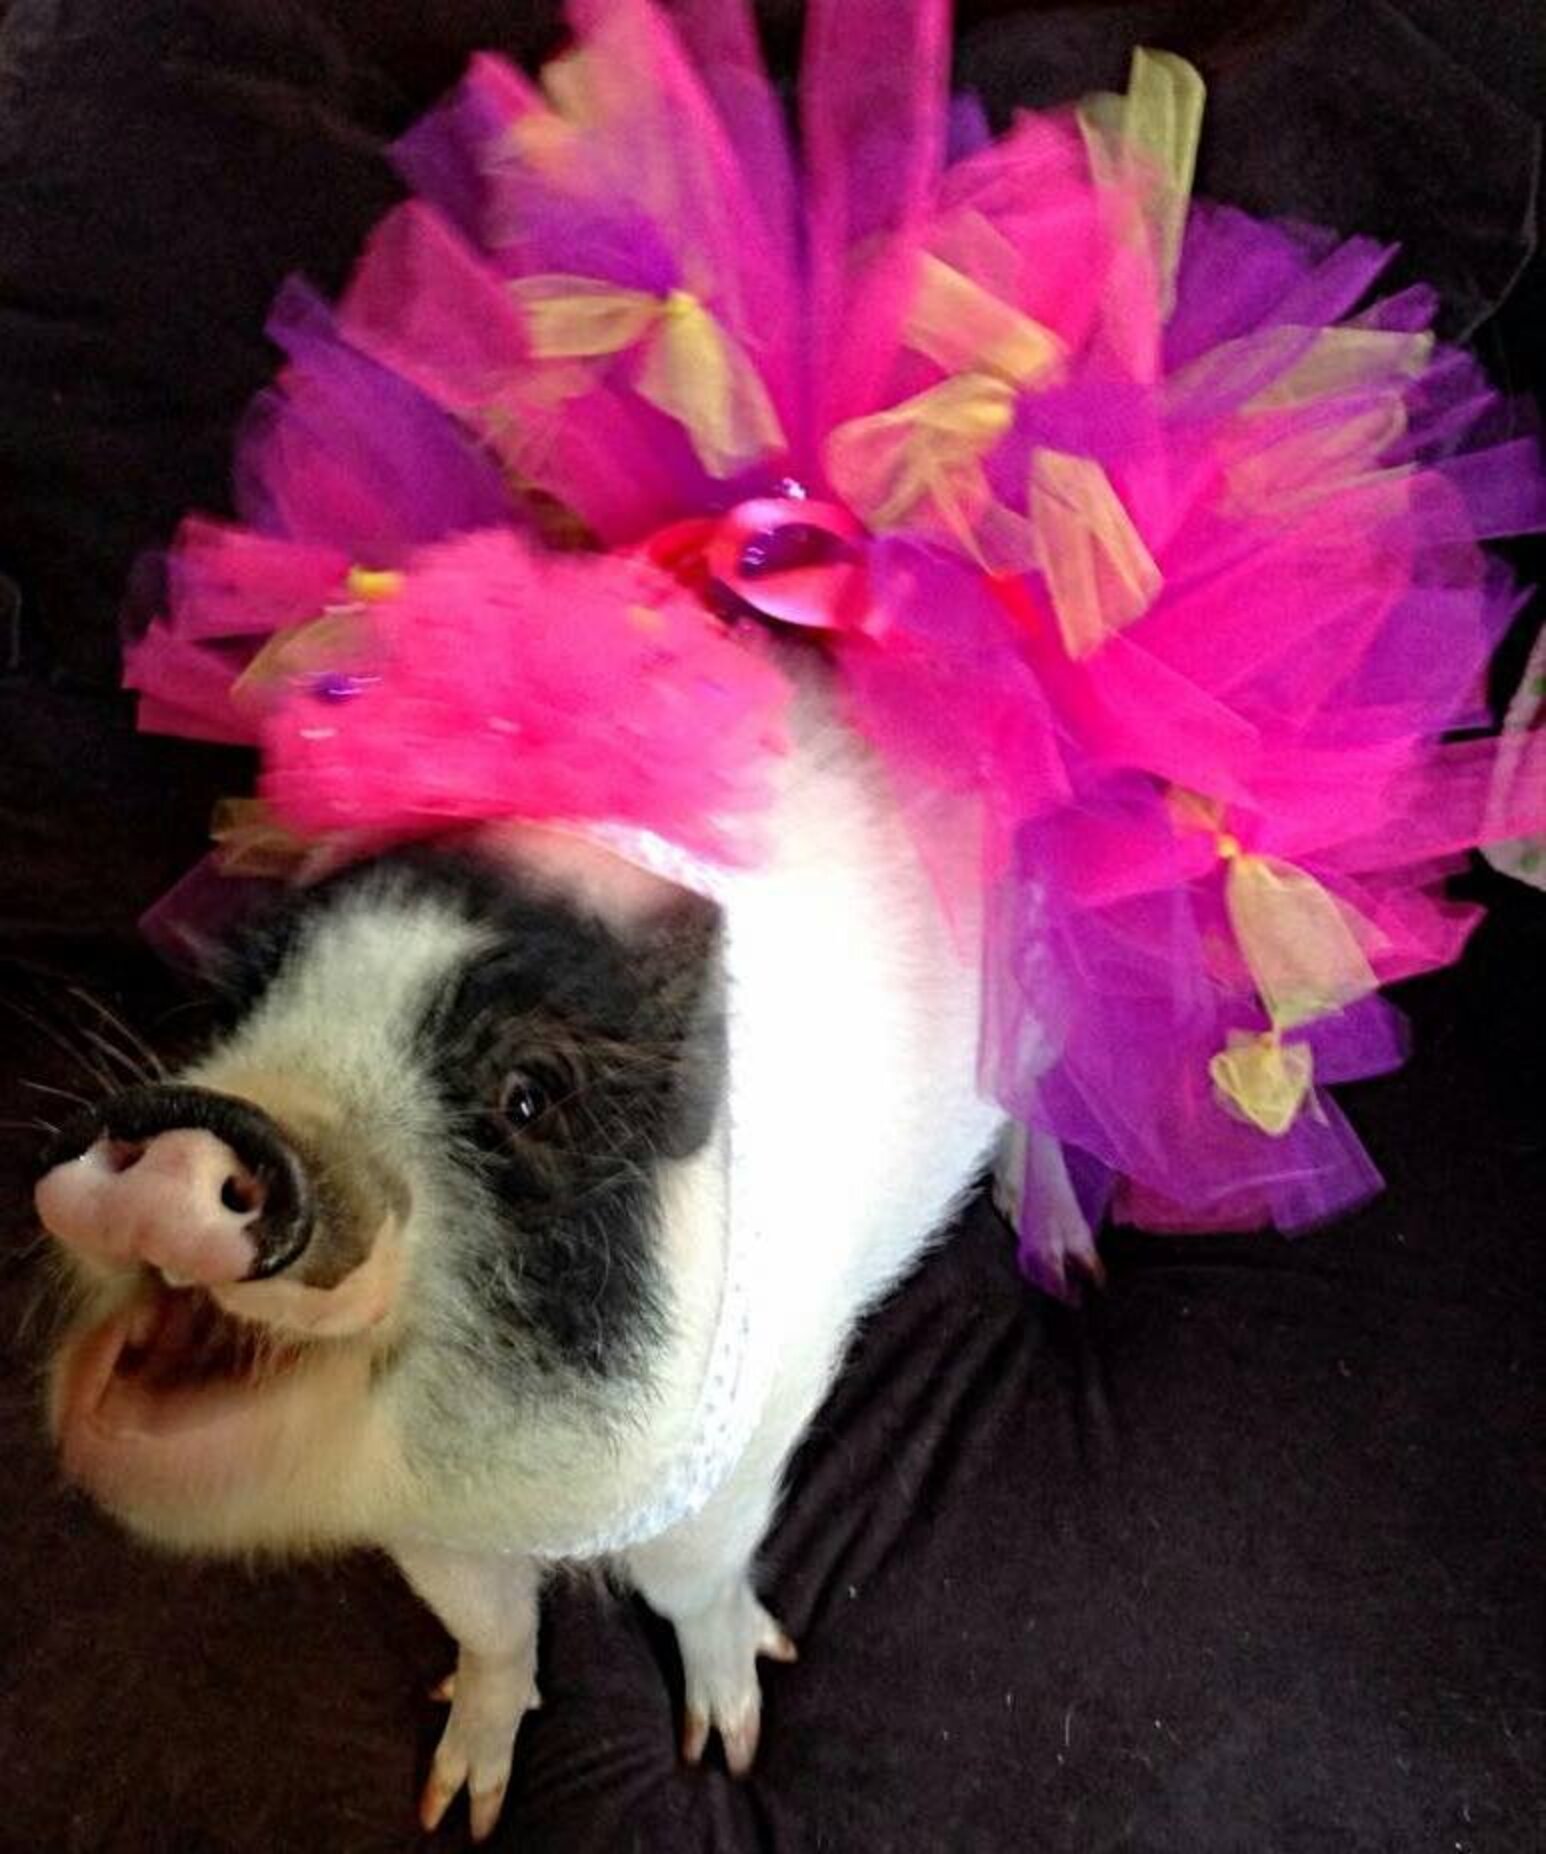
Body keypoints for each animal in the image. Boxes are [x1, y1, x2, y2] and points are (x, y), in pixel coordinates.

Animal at [35, 654, 1054, 1838]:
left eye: (528, 1097)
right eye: (243, 1006)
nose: (194, 1129)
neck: (518, 1491)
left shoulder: (755, 1434)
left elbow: (692, 1586)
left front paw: (729, 1745)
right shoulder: (423, 1528)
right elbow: (487, 1628)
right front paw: (457, 1808)